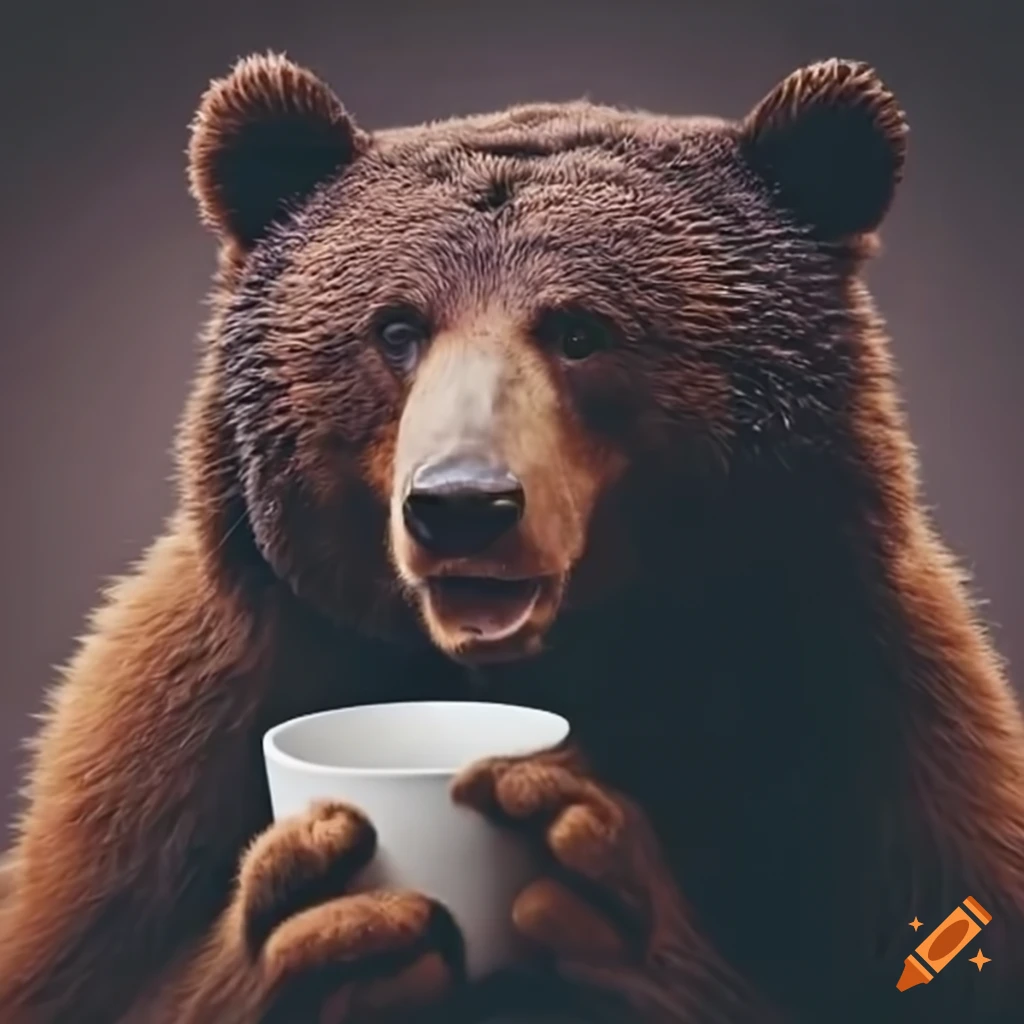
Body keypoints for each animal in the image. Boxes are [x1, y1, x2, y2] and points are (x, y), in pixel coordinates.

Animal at [1, 49, 1023, 1024]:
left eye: (581, 331)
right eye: (396, 328)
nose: (462, 503)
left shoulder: (878, 723)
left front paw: (604, 892)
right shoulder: (174, 736)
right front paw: (317, 915)